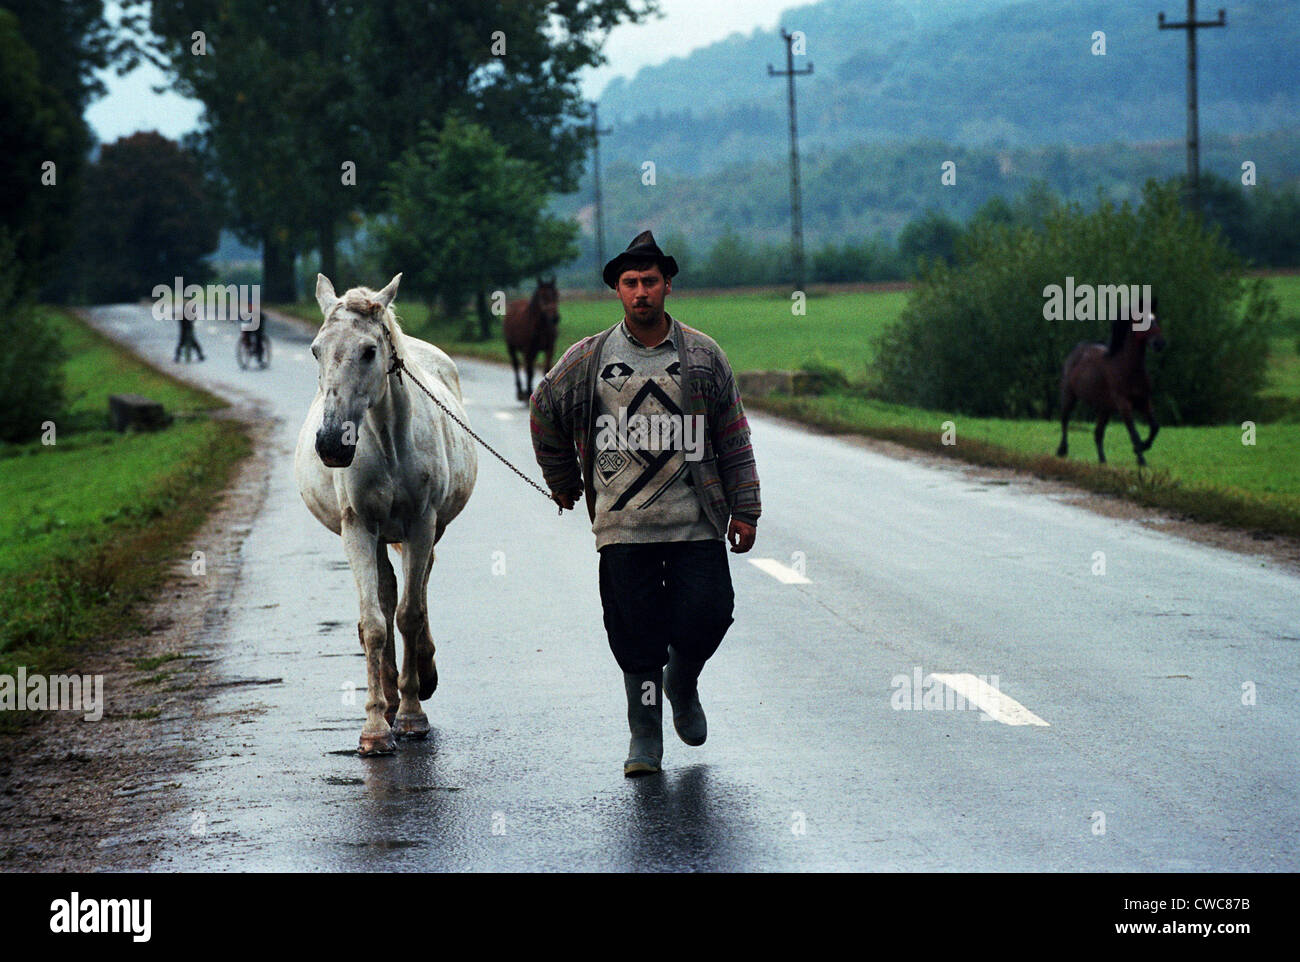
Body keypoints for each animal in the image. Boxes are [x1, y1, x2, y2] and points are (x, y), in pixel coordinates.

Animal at [294, 273, 477, 756]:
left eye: (368, 351)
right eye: (316, 350)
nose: (331, 445)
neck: (389, 439)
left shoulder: (421, 523)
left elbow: (409, 615)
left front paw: (413, 716)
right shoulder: (358, 527)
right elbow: (375, 622)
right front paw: (376, 728)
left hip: (429, 529)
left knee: (419, 585)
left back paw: (421, 677)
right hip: (376, 537)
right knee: (387, 592)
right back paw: (392, 693)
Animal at [1056, 295, 1166, 467]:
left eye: (1155, 319)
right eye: (1140, 320)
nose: (1159, 343)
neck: (1128, 368)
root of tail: (1078, 350)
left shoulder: (1144, 401)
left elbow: (1155, 427)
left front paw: (1142, 448)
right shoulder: (1123, 404)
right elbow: (1134, 433)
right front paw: (1141, 458)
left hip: (1105, 407)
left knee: (1098, 433)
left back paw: (1103, 462)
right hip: (1069, 396)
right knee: (1065, 420)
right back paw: (1062, 450)